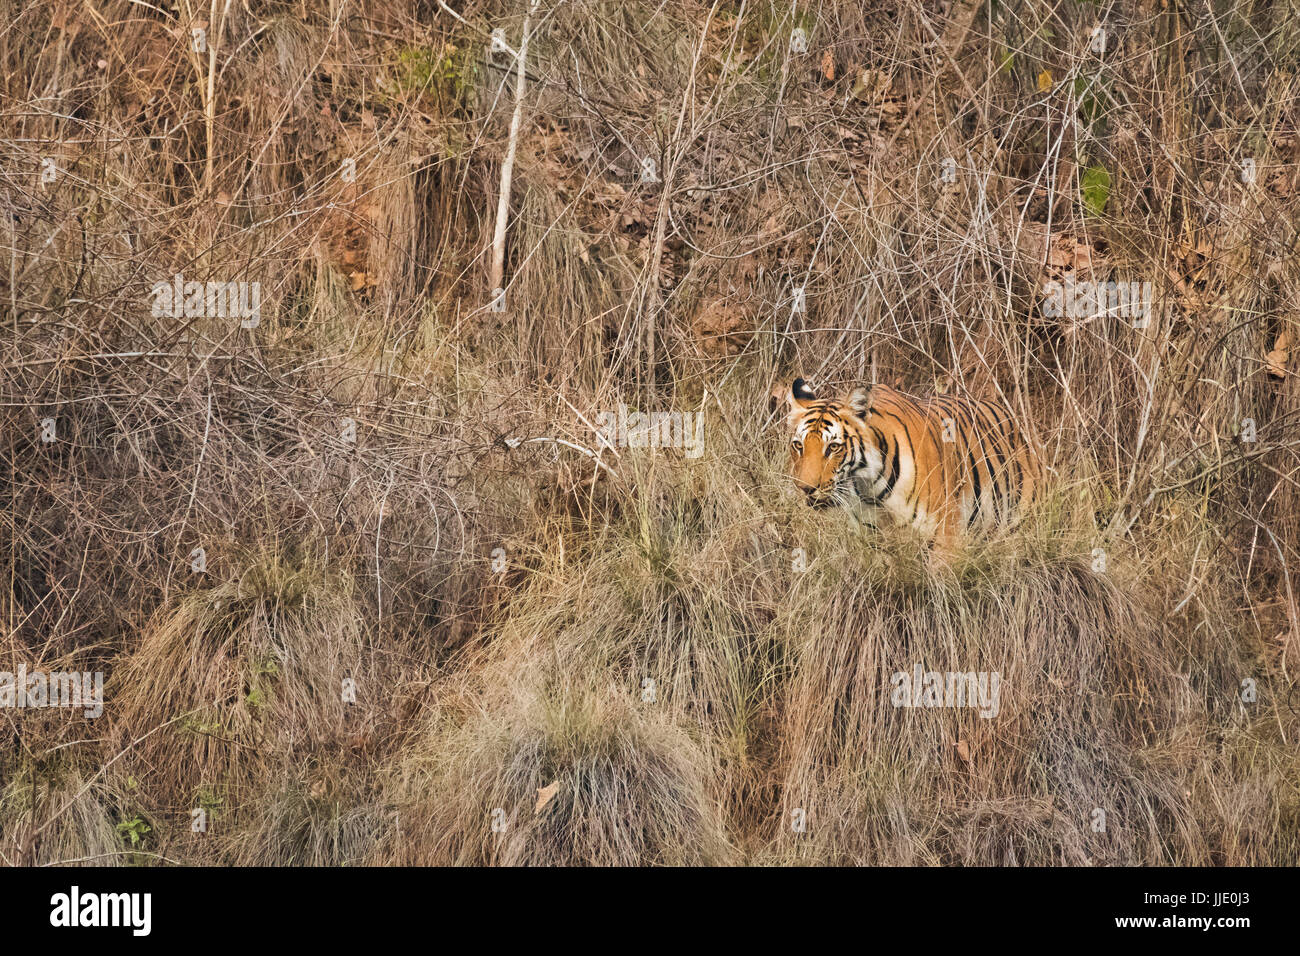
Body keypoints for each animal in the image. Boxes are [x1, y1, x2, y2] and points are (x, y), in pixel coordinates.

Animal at [776, 378, 1041, 550]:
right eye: (798, 445)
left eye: (833, 447)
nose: (805, 489)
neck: (869, 489)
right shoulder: (874, 541)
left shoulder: (946, 536)